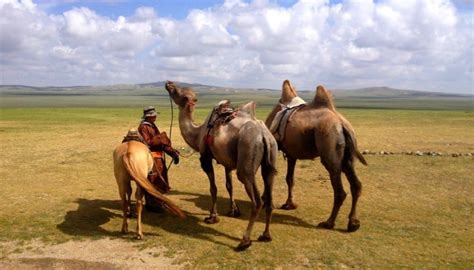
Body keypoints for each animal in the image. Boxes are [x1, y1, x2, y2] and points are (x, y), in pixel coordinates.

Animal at [166, 80, 280, 251]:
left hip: (247, 160)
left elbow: (213, 188)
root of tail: (263, 135)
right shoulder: (227, 162)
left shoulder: (206, 158)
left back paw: (244, 241)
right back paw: (266, 235)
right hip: (270, 159)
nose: (169, 83)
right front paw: (233, 210)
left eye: (178, 91)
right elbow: (229, 185)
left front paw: (213, 217)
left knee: (256, 200)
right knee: (269, 198)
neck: (197, 133)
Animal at [266, 79, 366, 232]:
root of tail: (342, 124)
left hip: (329, 149)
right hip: (348, 157)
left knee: (339, 191)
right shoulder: (292, 153)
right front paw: (289, 204)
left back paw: (328, 223)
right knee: (356, 185)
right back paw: (353, 223)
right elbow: (290, 179)